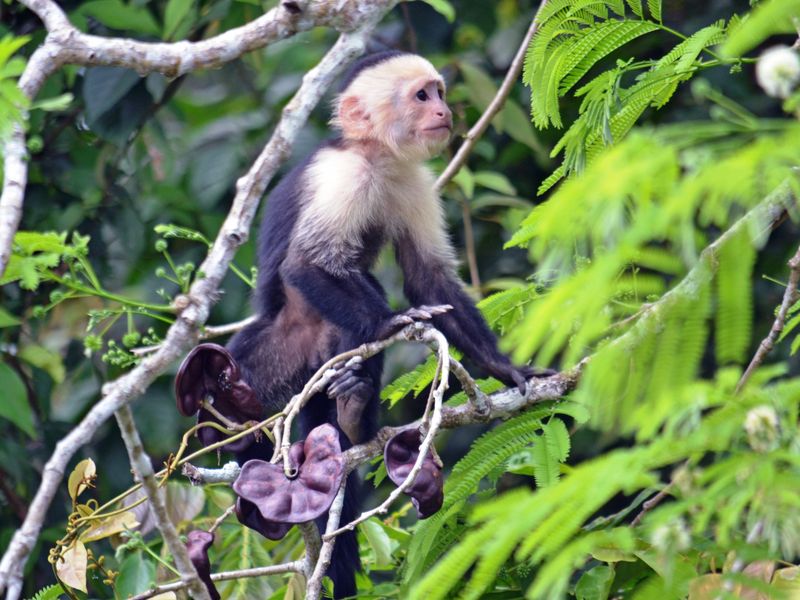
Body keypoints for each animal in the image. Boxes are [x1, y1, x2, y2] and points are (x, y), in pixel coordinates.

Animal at [219, 50, 538, 597]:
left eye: (439, 92)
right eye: (421, 96)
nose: (443, 112)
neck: (377, 157)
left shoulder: (413, 180)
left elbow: (430, 279)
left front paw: (504, 366)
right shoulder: (344, 174)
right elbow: (304, 267)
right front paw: (393, 321)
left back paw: (352, 412)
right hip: (270, 354)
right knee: (238, 402)